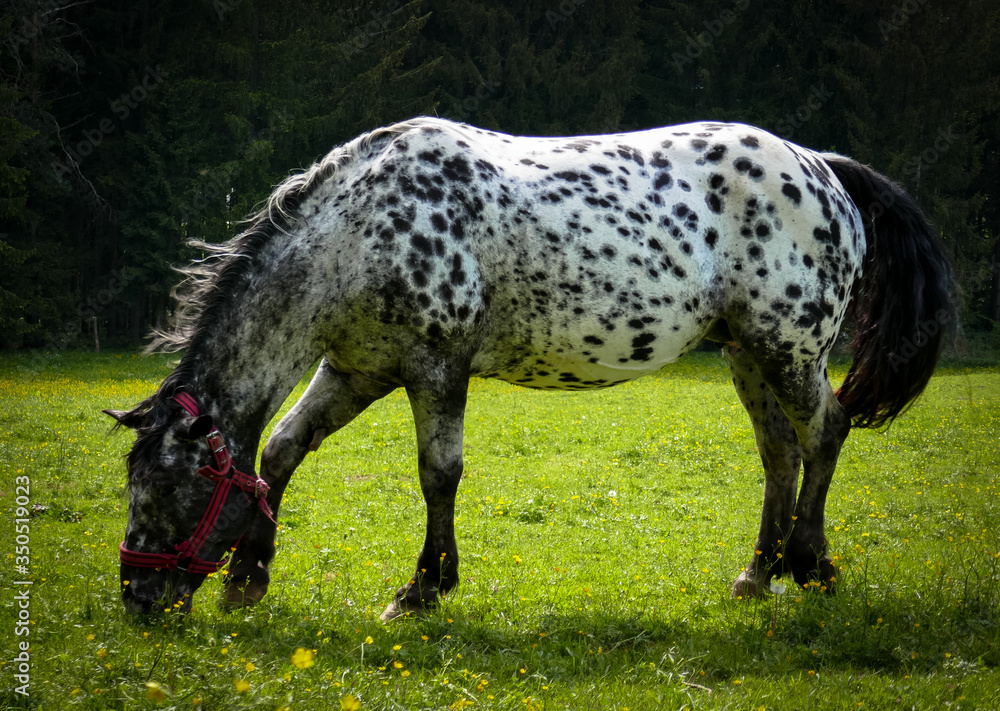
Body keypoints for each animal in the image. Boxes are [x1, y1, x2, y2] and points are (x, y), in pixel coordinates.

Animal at [105, 116, 953, 620]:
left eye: (168, 489)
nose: (139, 597)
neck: (360, 229)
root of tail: (824, 167)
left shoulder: (435, 366)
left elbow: (438, 473)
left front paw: (423, 587)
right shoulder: (355, 369)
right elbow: (281, 450)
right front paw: (250, 573)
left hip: (790, 348)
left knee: (826, 433)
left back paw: (811, 565)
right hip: (749, 353)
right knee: (780, 453)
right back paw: (756, 574)